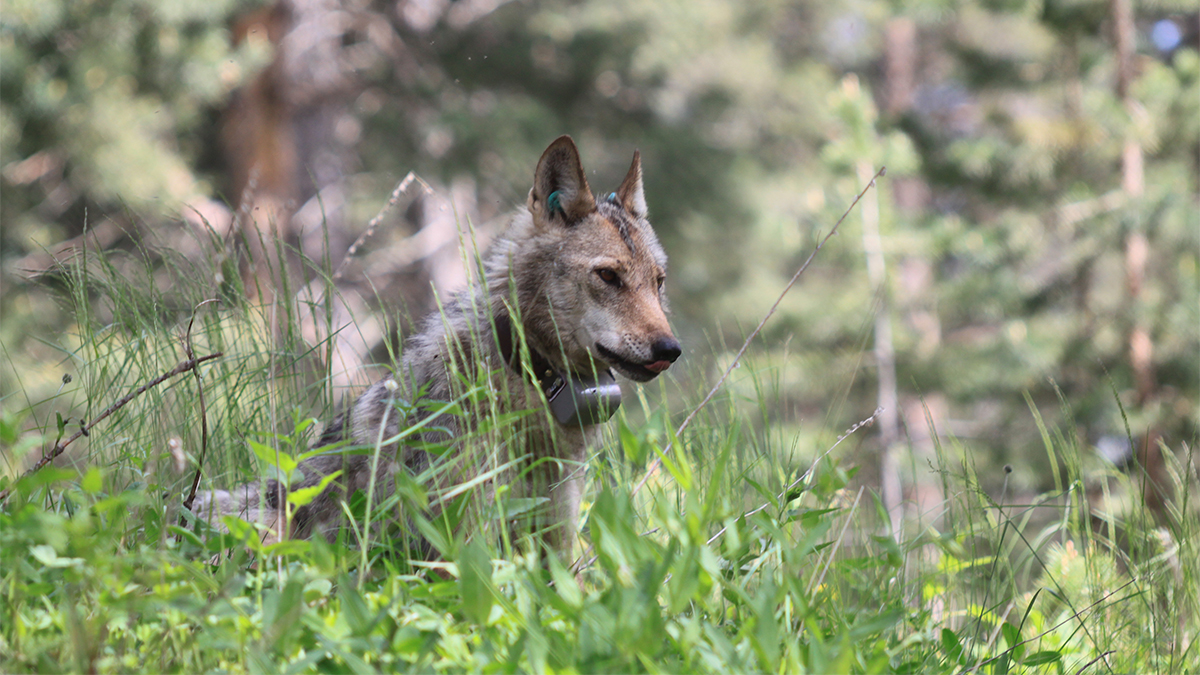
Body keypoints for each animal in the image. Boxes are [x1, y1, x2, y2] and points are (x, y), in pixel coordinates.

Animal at [193, 136, 680, 556]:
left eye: (658, 282)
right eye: (608, 276)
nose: (670, 349)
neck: (531, 381)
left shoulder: (554, 535)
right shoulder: (460, 544)